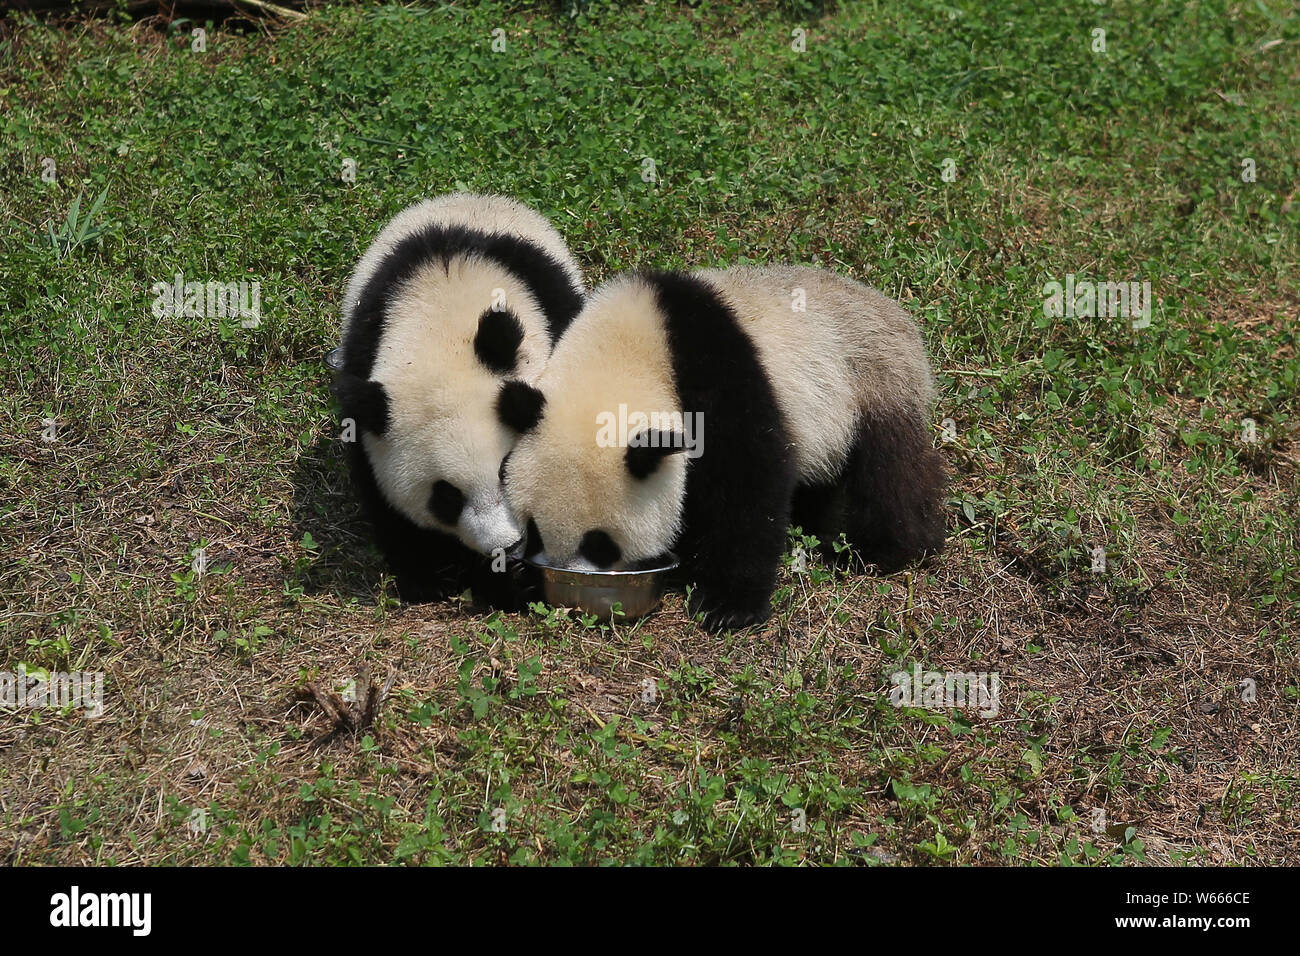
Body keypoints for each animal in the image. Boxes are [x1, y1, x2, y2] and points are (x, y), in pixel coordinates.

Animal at [499, 264, 946, 629]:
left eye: (600, 544)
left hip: (869, 380)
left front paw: (727, 605)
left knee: (889, 471)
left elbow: (748, 487)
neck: (629, 355)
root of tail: (895, 312)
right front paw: (520, 574)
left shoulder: (721, 384)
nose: (560, 574)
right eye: (534, 529)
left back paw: (880, 549)